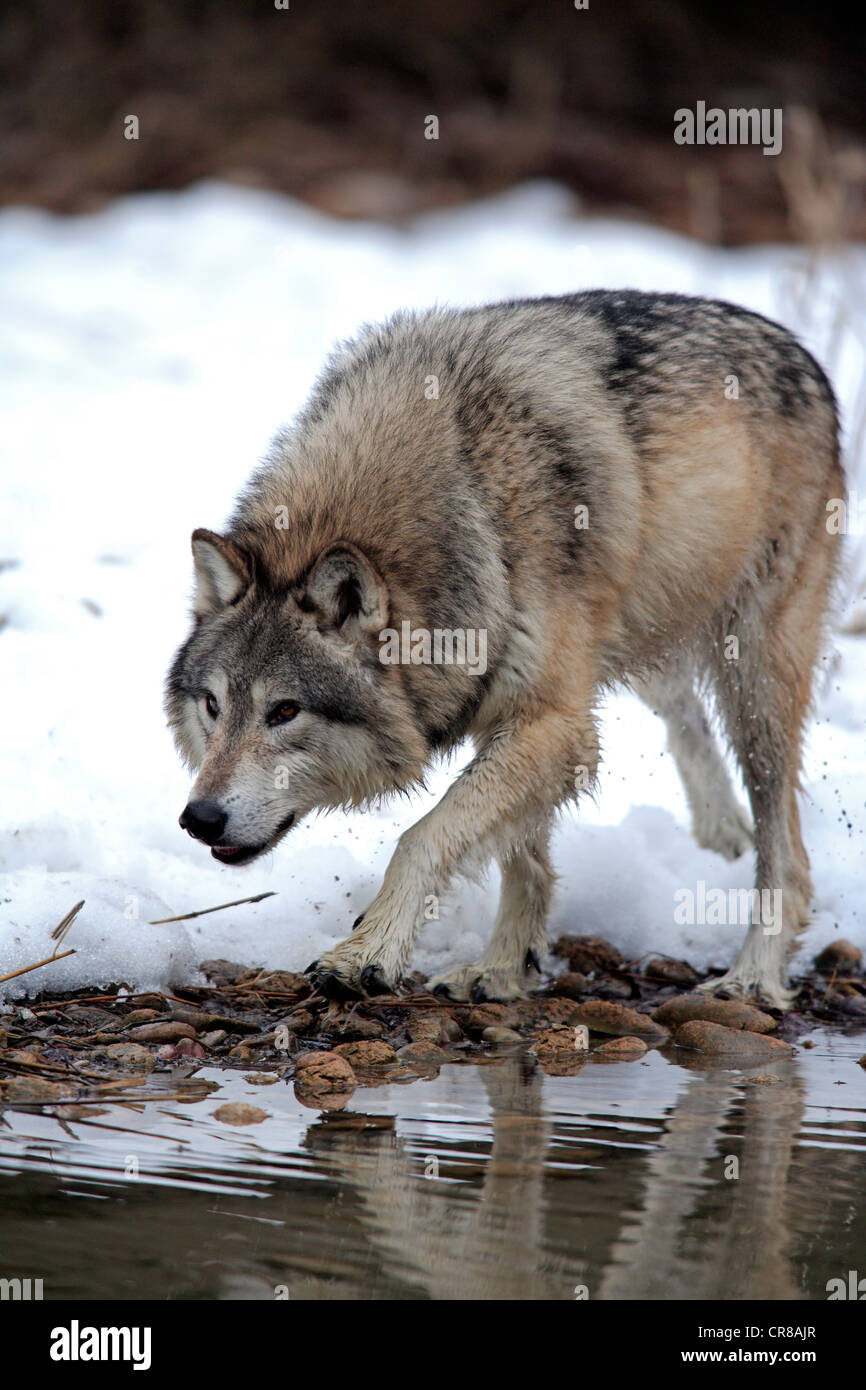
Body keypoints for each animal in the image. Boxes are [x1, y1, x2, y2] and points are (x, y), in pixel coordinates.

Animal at [166, 291, 843, 1009]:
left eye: (285, 712)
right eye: (213, 705)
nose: (199, 818)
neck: (468, 512)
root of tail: (797, 348)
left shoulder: (555, 723)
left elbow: (424, 837)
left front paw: (368, 953)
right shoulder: (537, 721)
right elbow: (522, 855)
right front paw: (502, 967)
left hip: (756, 683)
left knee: (787, 850)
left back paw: (754, 974)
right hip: (642, 638)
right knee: (683, 712)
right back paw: (721, 832)